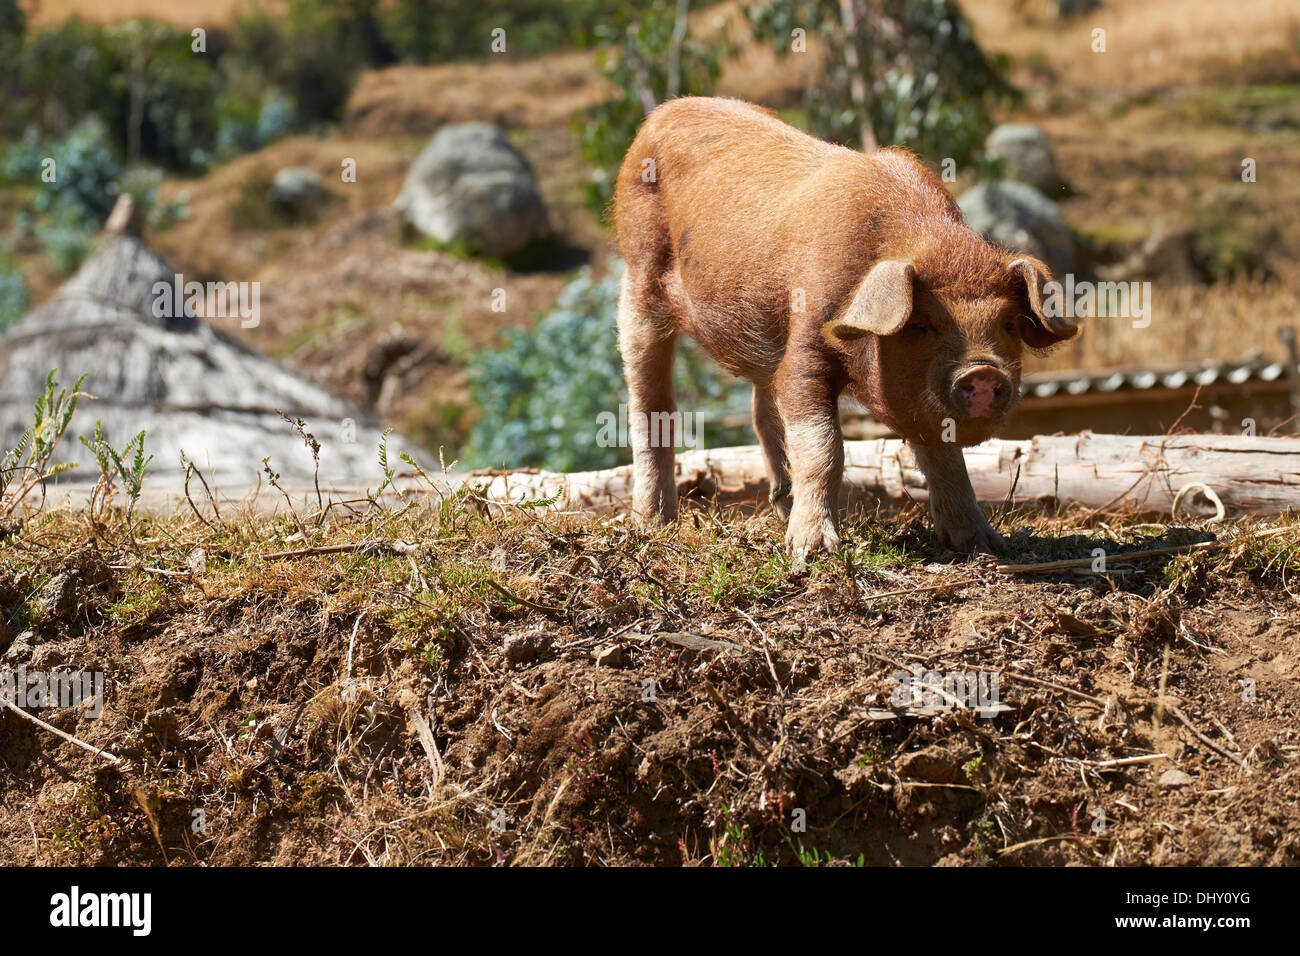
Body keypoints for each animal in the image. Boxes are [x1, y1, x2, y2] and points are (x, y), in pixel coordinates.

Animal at [612, 97, 1078, 558]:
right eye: (922, 324)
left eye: (1007, 324)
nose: (982, 371)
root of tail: (661, 114)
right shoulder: (806, 344)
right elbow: (824, 446)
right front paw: (814, 551)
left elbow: (945, 461)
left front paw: (985, 545)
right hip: (639, 273)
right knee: (650, 401)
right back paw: (653, 524)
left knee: (762, 410)